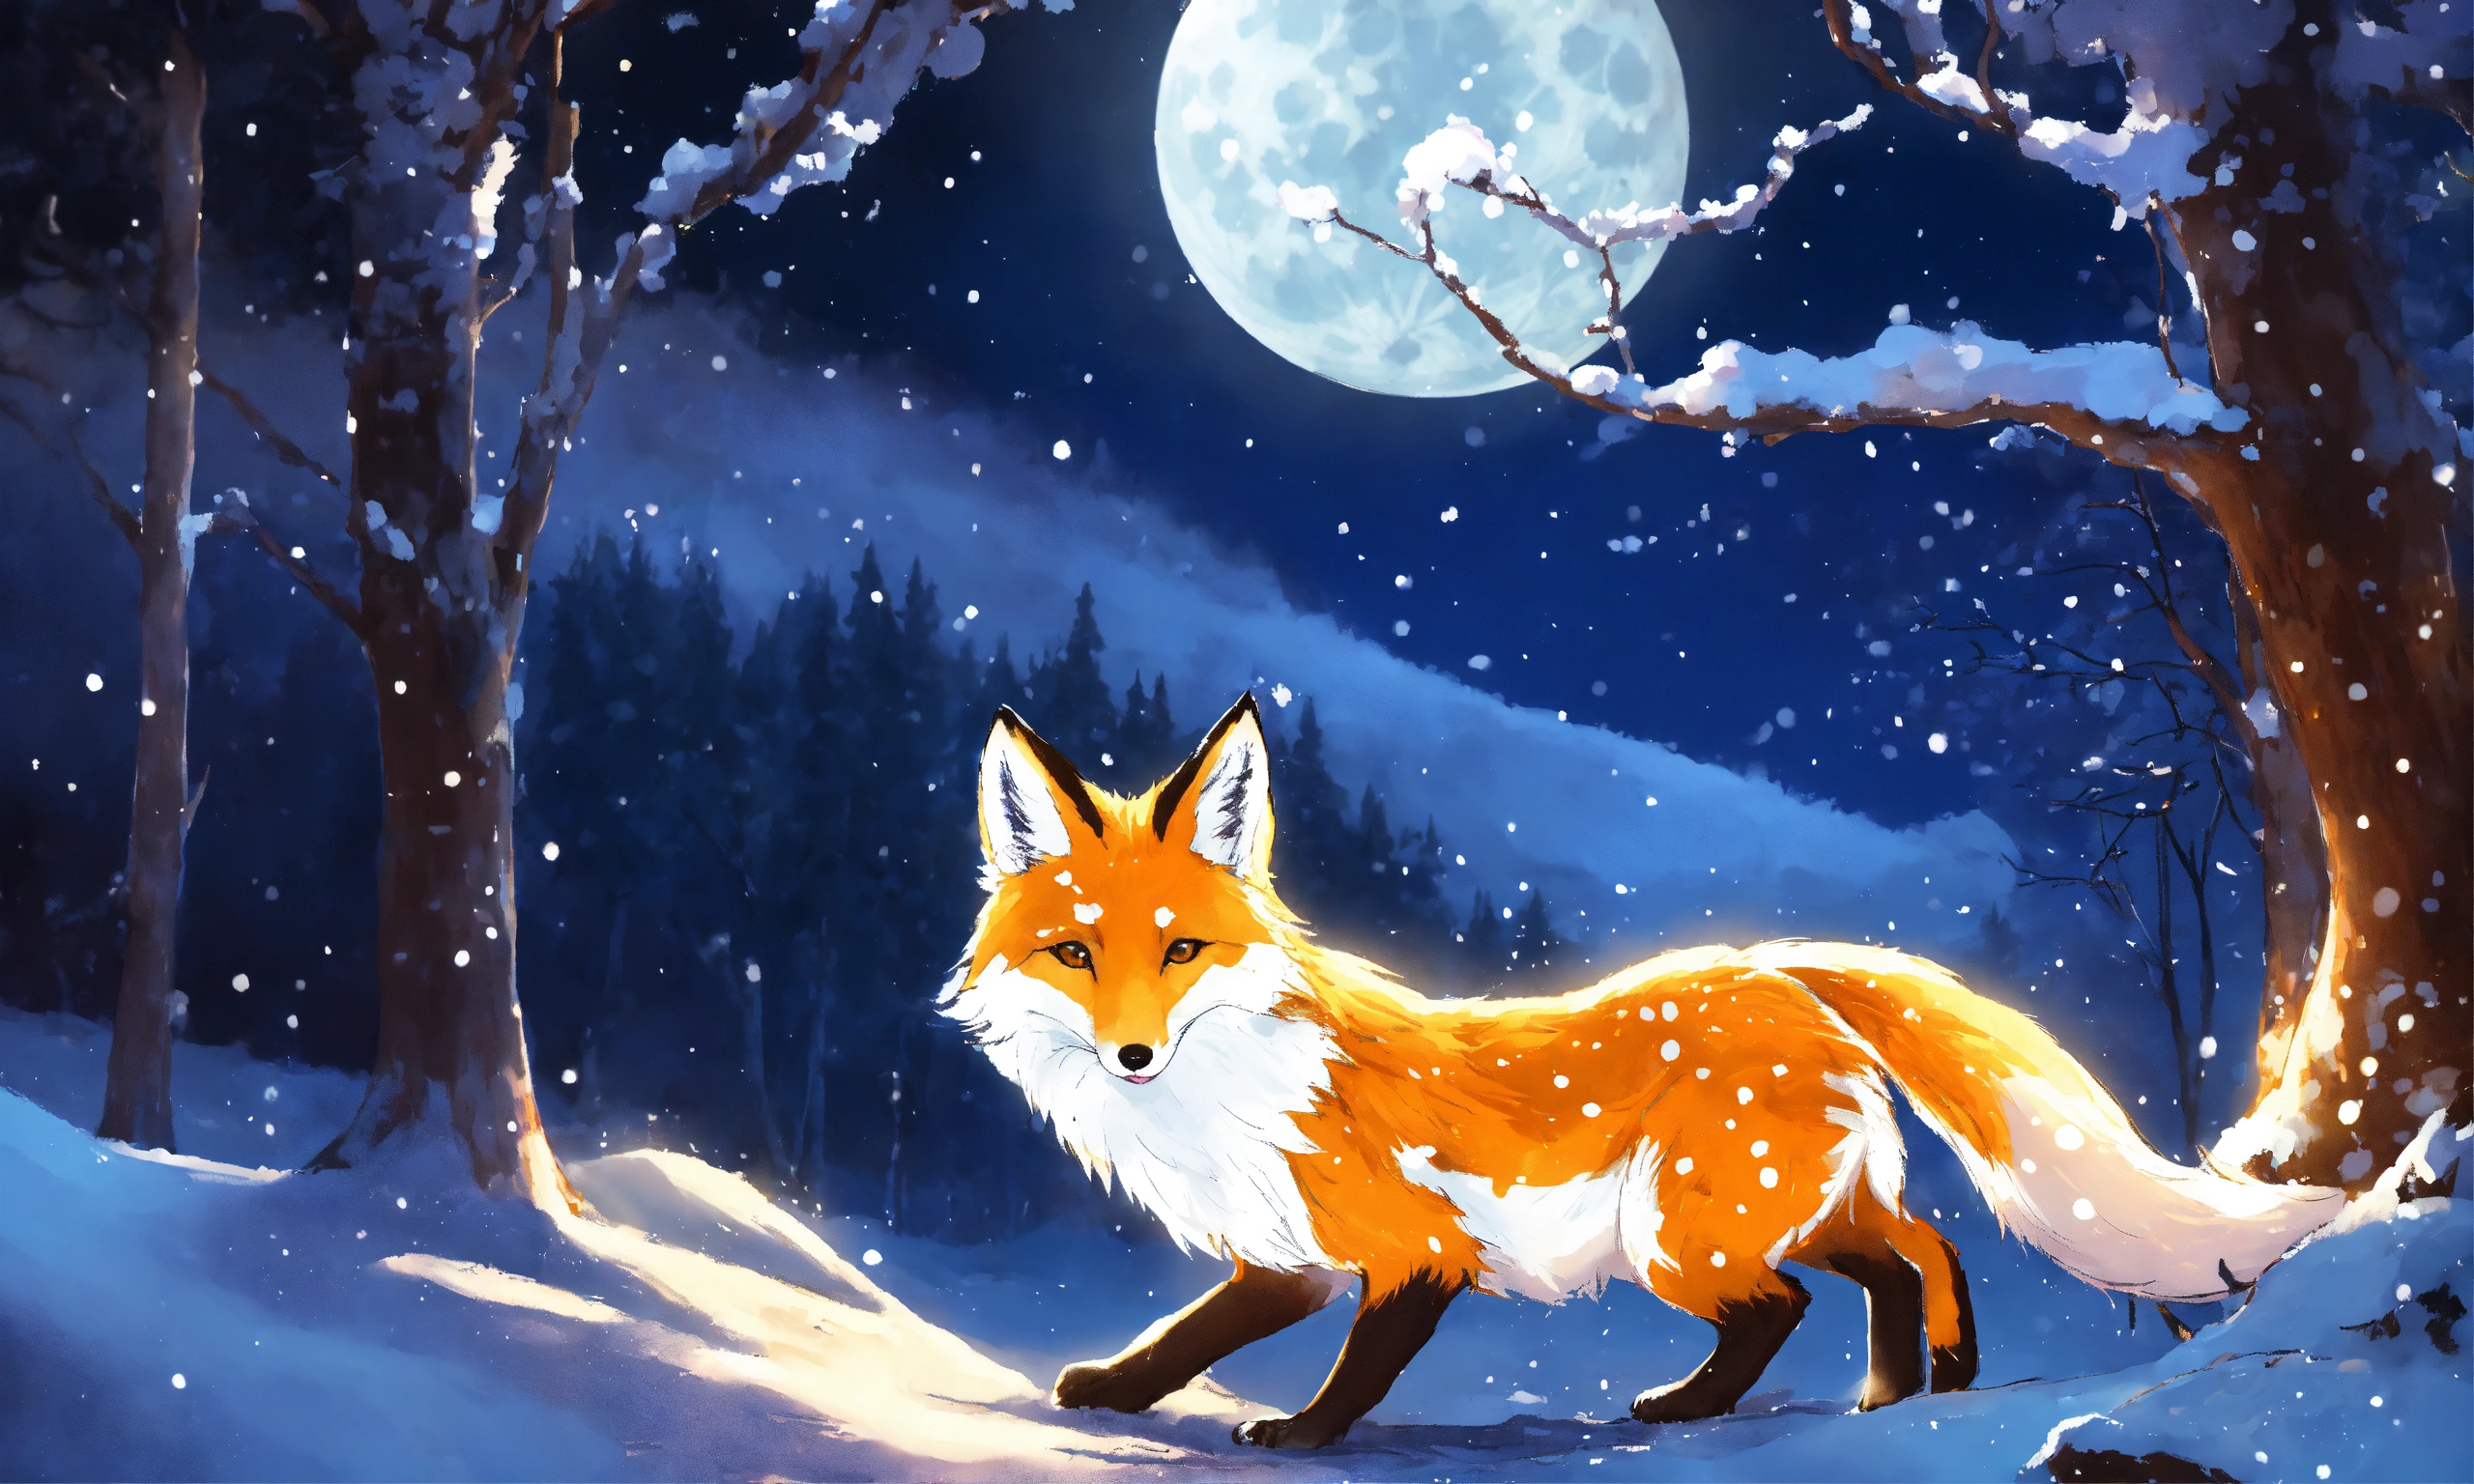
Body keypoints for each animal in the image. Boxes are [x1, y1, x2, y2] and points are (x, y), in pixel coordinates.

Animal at [939, 693, 2346, 1450]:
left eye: (1181, 951)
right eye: (1075, 953)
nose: (1131, 1052)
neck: (1228, 1090)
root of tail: (1776, 967)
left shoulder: (1409, 1248)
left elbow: (1357, 1367)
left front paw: (1298, 1433)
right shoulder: (1280, 1257)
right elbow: (1187, 1334)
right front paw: (1110, 1391)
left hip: (1681, 1234)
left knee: (1793, 1302)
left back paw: (1701, 1405)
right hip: (1782, 1205)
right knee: (1918, 1250)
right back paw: (1908, 1389)